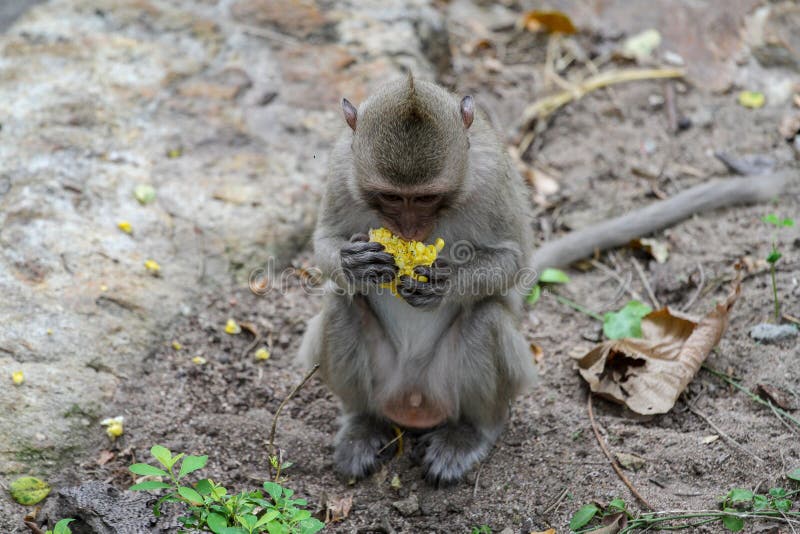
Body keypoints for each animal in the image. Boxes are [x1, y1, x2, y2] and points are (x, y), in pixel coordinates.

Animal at [299, 74, 789, 486]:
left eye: (426, 199)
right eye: (390, 197)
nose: (409, 229)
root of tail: (412, 401)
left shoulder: (491, 176)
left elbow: (515, 261)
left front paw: (441, 284)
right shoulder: (341, 168)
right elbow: (324, 242)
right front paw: (355, 263)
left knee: (487, 319)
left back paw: (471, 432)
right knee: (343, 303)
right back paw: (364, 423)